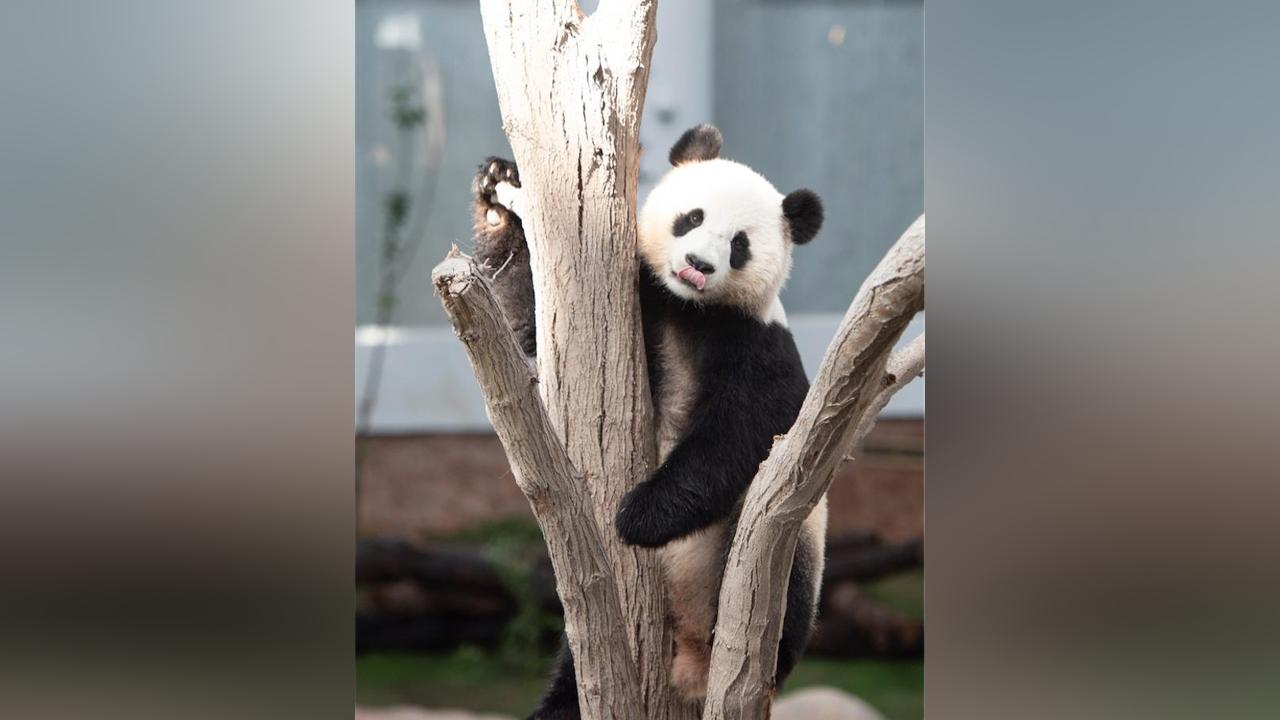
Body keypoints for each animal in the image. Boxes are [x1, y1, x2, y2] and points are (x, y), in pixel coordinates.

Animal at [471, 124, 828, 720]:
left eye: (739, 244)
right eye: (692, 218)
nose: (698, 265)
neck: (690, 310)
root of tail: (691, 662)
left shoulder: (757, 342)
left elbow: (745, 429)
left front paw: (637, 517)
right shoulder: (646, 298)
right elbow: (530, 325)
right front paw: (498, 191)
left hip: (782, 544)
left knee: (778, 572)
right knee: (575, 660)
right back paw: (557, 708)